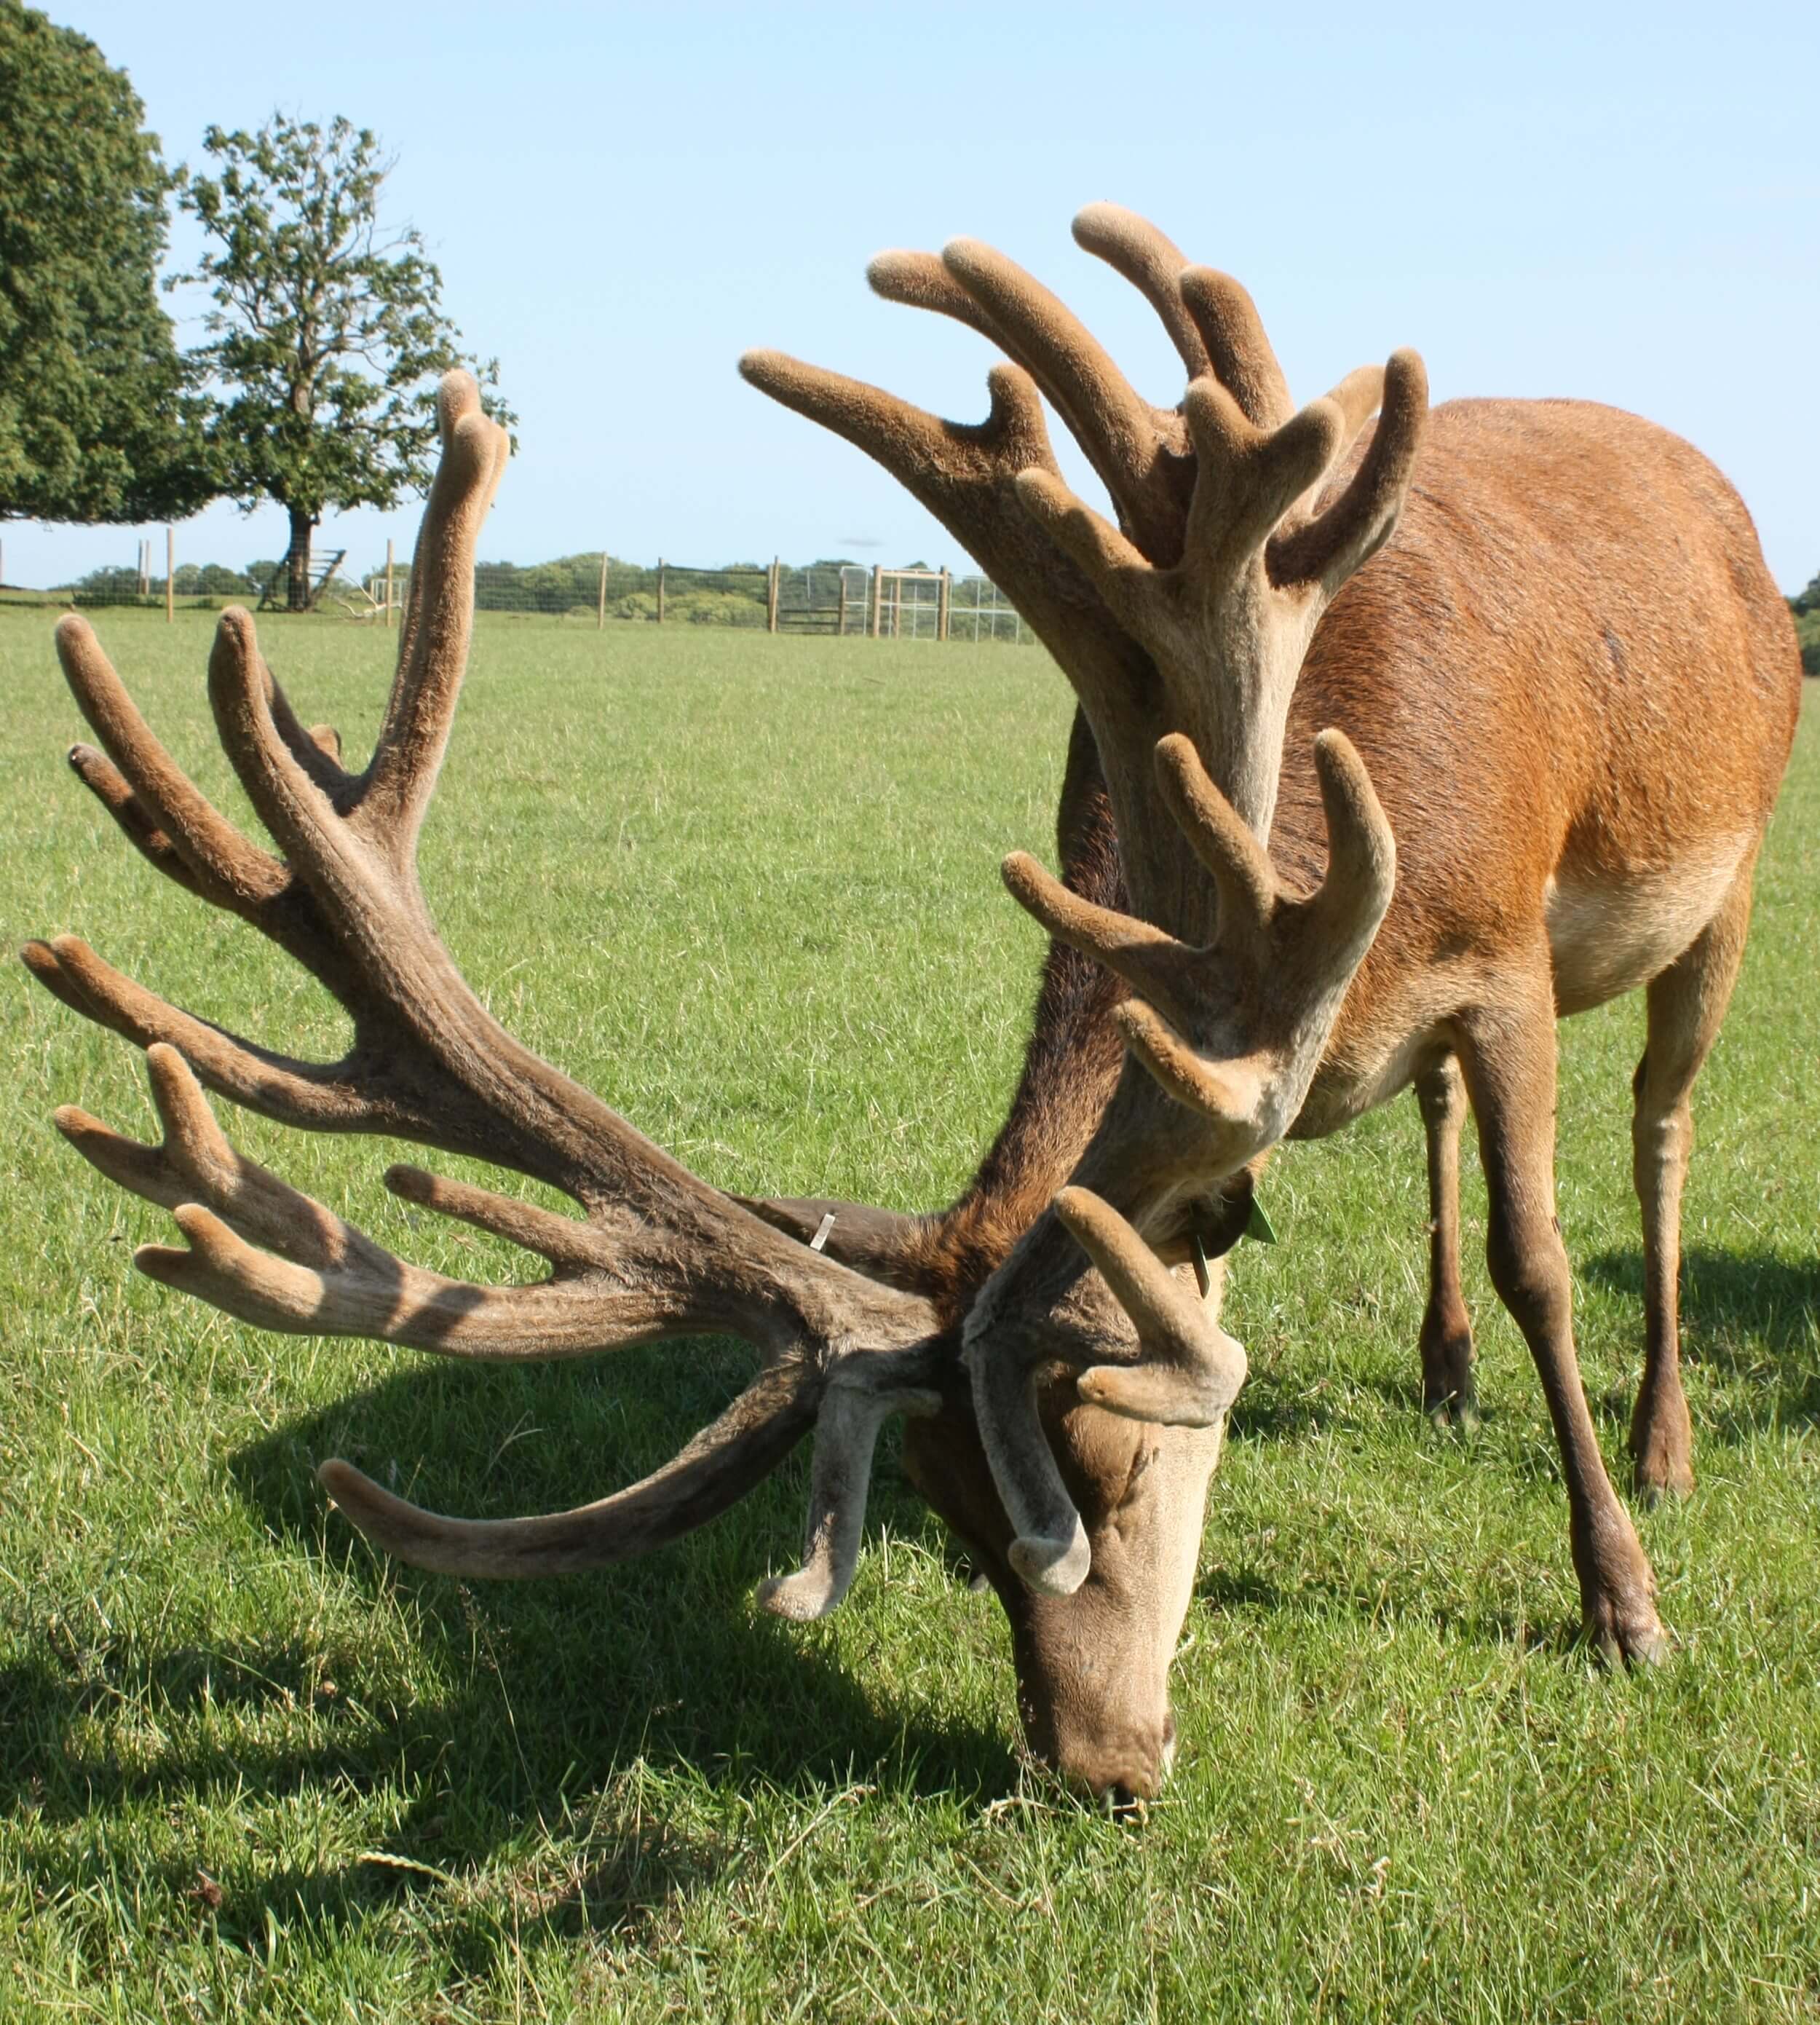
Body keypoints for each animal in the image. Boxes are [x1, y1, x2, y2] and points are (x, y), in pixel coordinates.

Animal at [24, 207, 1800, 1812]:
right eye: (946, 1503)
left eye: (1111, 1448)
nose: (1097, 1766)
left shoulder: (1500, 959)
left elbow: (1538, 1260)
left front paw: (1622, 1603)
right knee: (1440, 1115)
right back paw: (1438, 1372)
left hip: (1728, 879)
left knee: (1658, 1128)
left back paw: (1659, 1440)